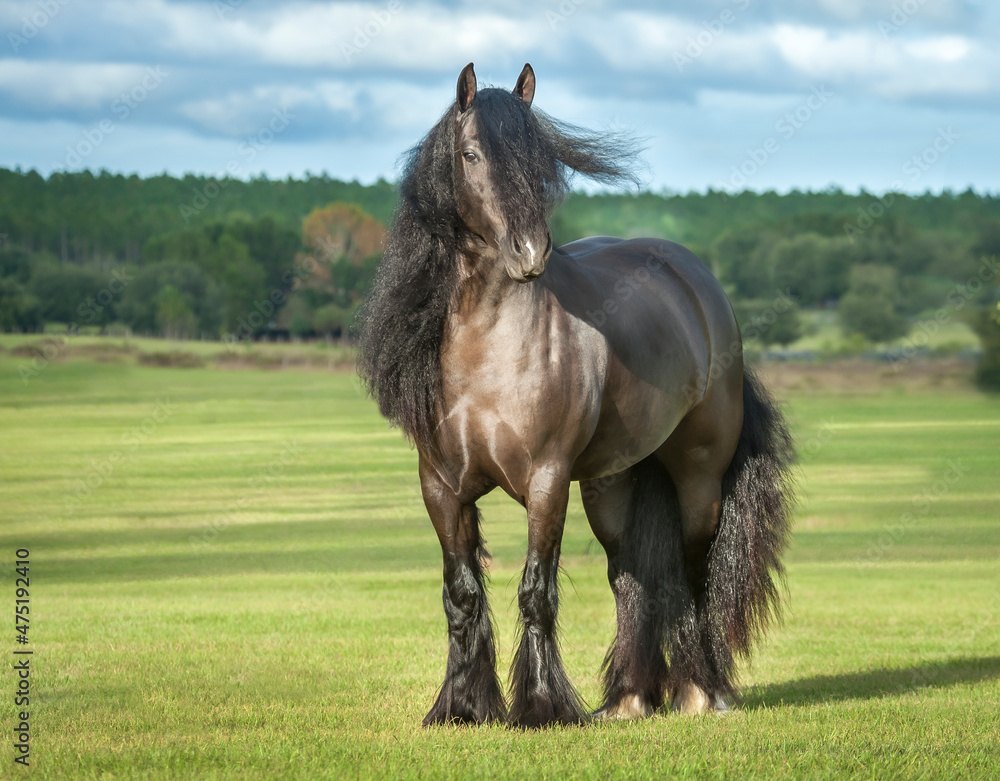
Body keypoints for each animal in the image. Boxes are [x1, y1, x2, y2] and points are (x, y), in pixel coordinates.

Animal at [356, 62, 794, 728]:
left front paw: (541, 706)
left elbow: (536, 591)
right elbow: (462, 594)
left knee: (695, 568)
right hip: (613, 483)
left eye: (540, 160)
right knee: (630, 575)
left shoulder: (547, 480)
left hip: (697, 477)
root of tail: (699, 286)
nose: (529, 252)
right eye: (471, 153)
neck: (488, 351)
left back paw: (701, 692)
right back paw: (629, 700)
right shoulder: (441, 486)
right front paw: (462, 707)